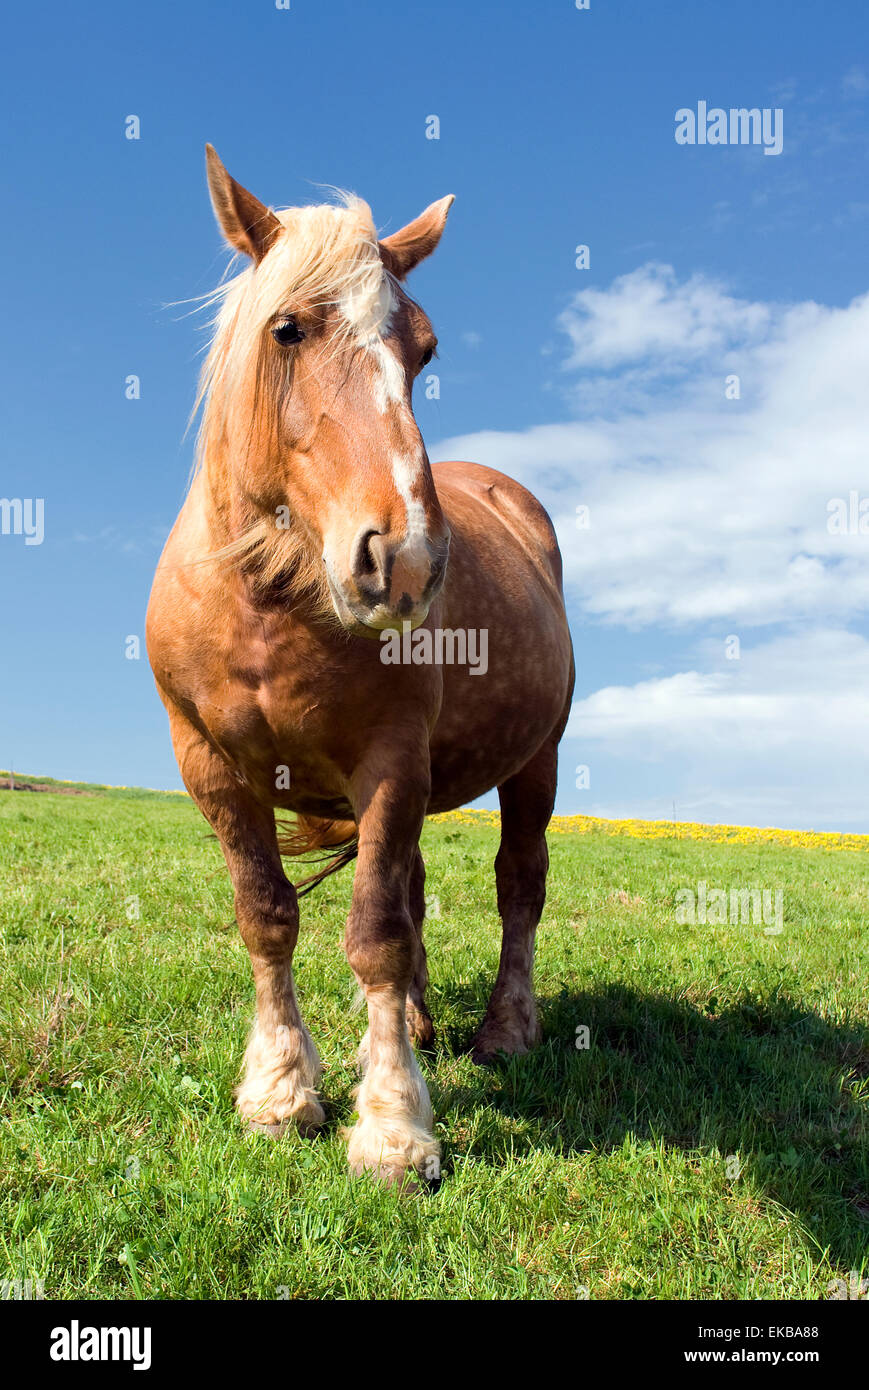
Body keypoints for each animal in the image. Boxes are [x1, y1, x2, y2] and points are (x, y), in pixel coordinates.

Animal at [146, 145, 575, 1189]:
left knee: (518, 885)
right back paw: (418, 1022)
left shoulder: (390, 761)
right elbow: (269, 916)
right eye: (287, 329)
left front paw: (392, 1127)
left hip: (534, 763)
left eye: (423, 350)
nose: (407, 559)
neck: (267, 602)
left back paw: (506, 1030)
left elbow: (375, 934)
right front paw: (279, 1094)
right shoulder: (211, 768)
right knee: (416, 889)